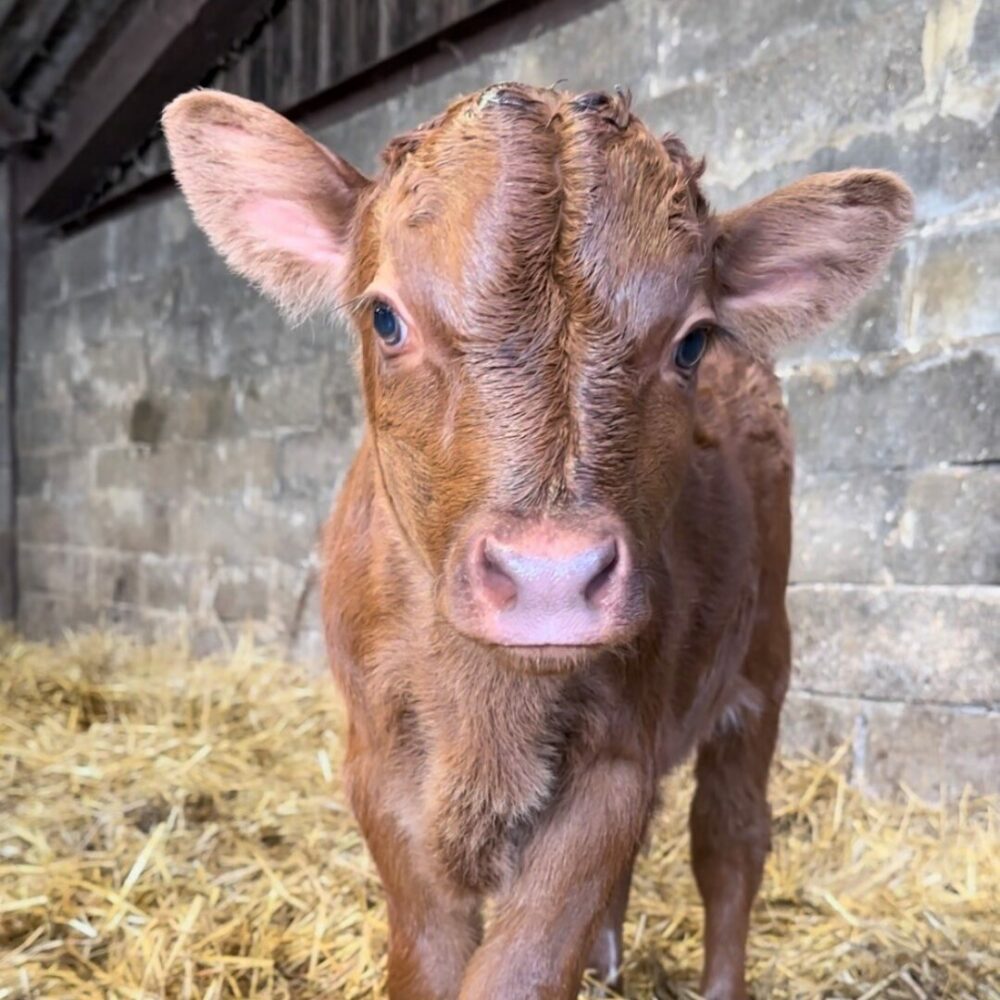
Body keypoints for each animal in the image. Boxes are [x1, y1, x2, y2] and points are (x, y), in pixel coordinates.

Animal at [163, 82, 912, 1000]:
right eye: (385, 319)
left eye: (692, 341)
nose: (551, 578)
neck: (484, 712)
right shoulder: (378, 763)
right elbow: (427, 956)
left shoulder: (615, 763)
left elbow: (524, 963)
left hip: (764, 656)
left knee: (730, 840)